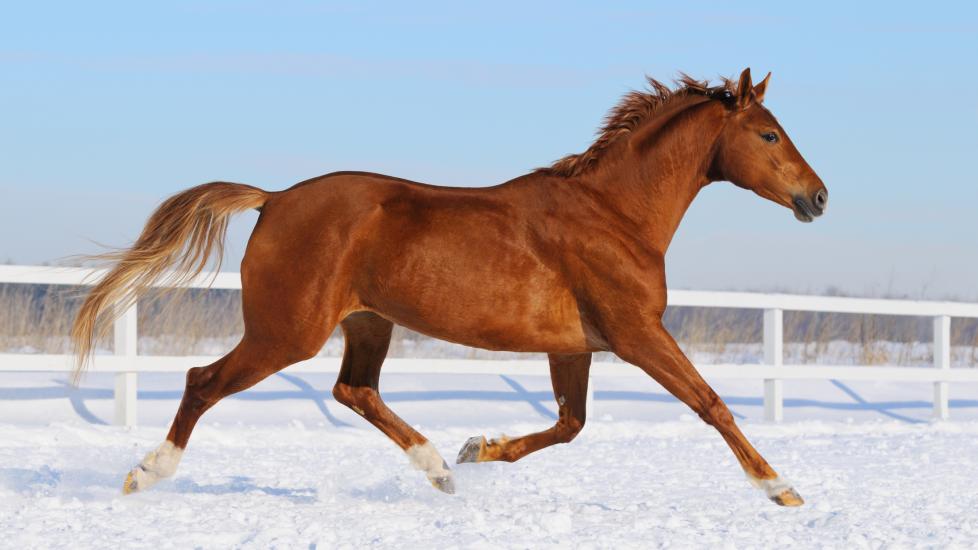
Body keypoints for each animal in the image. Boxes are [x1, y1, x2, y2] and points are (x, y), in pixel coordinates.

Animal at [71, 68, 827, 506]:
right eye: (768, 134)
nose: (818, 198)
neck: (614, 213)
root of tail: (275, 199)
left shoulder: (574, 344)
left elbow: (571, 424)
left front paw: (479, 448)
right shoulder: (637, 332)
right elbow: (712, 404)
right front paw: (782, 488)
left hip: (366, 322)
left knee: (354, 390)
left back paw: (440, 468)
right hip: (286, 331)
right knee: (204, 381)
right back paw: (144, 475)